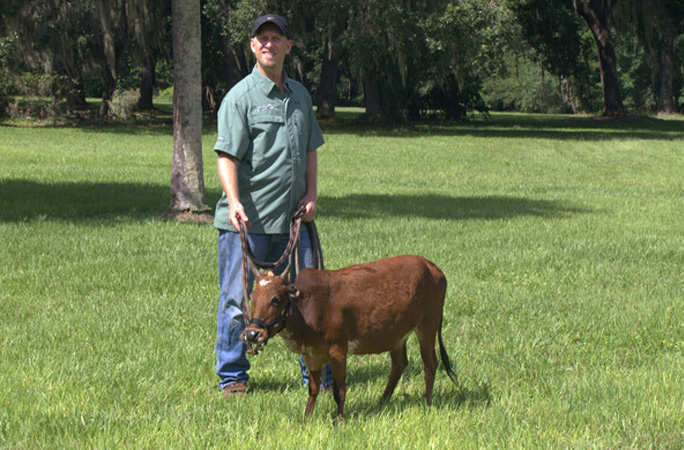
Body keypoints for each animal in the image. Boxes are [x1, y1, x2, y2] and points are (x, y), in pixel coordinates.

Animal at [240, 255, 459, 419]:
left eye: (276, 299)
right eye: (252, 297)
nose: (252, 333)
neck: (307, 309)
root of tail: (432, 267)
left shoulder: (338, 350)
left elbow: (339, 391)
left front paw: (339, 420)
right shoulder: (311, 355)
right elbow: (313, 389)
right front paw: (307, 418)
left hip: (427, 326)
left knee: (430, 364)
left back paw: (427, 403)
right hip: (397, 335)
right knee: (399, 364)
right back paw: (381, 403)